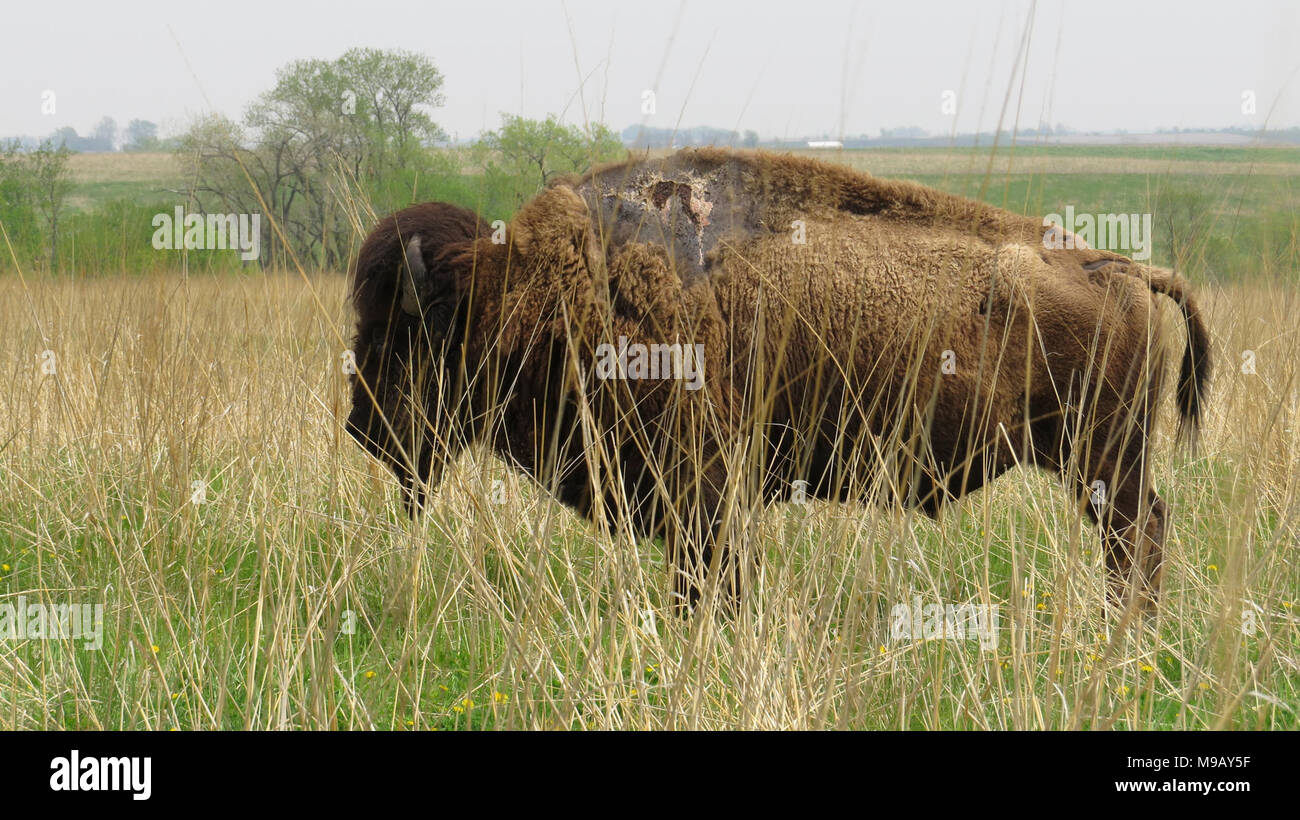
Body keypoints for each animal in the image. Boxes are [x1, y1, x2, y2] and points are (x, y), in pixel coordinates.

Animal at [346, 148, 1210, 615]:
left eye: (401, 333)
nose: (361, 426)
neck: (543, 287)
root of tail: (1127, 268)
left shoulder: (703, 490)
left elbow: (707, 579)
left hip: (1102, 459)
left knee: (1138, 533)